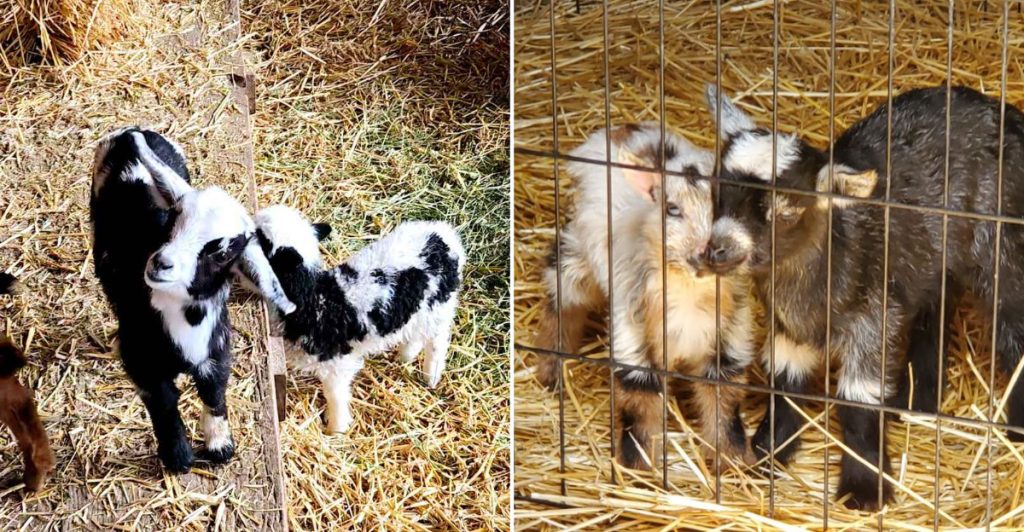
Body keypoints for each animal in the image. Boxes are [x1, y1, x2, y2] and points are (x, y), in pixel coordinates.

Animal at [90, 127, 294, 472]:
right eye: (172, 220)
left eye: (222, 252)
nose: (160, 263)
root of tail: (134, 129)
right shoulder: (143, 363)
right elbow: (164, 406)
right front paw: (178, 457)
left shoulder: (217, 350)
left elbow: (215, 396)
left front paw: (220, 445)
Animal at [250, 205, 464, 434]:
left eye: (262, 237)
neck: (313, 299)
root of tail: (444, 237)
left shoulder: (337, 366)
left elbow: (335, 397)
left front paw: (335, 429)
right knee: (414, 335)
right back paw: (405, 357)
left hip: (439, 308)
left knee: (437, 342)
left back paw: (430, 376)